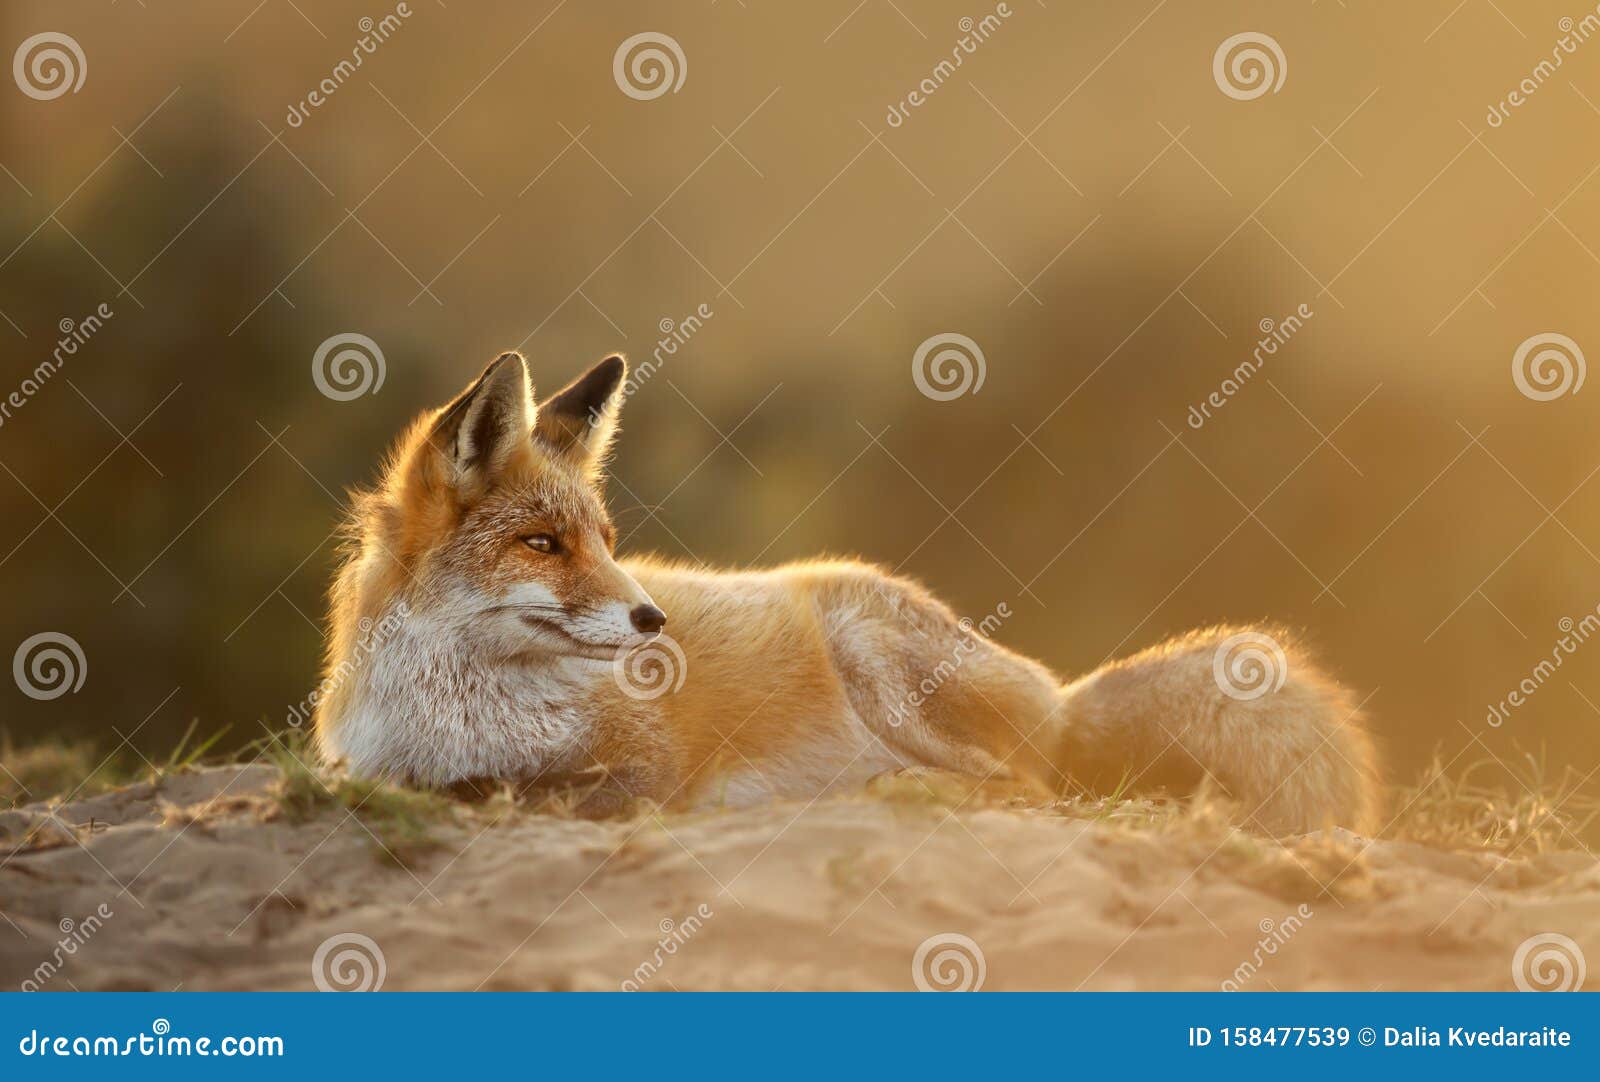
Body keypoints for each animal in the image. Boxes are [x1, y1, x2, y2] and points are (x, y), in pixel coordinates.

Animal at [313, 351, 1379, 834]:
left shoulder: (644, 766)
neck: (456, 705)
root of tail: (1060, 693)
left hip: (873, 651)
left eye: (608, 544)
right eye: (543, 544)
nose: (654, 620)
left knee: (1027, 790)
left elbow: (512, 791)